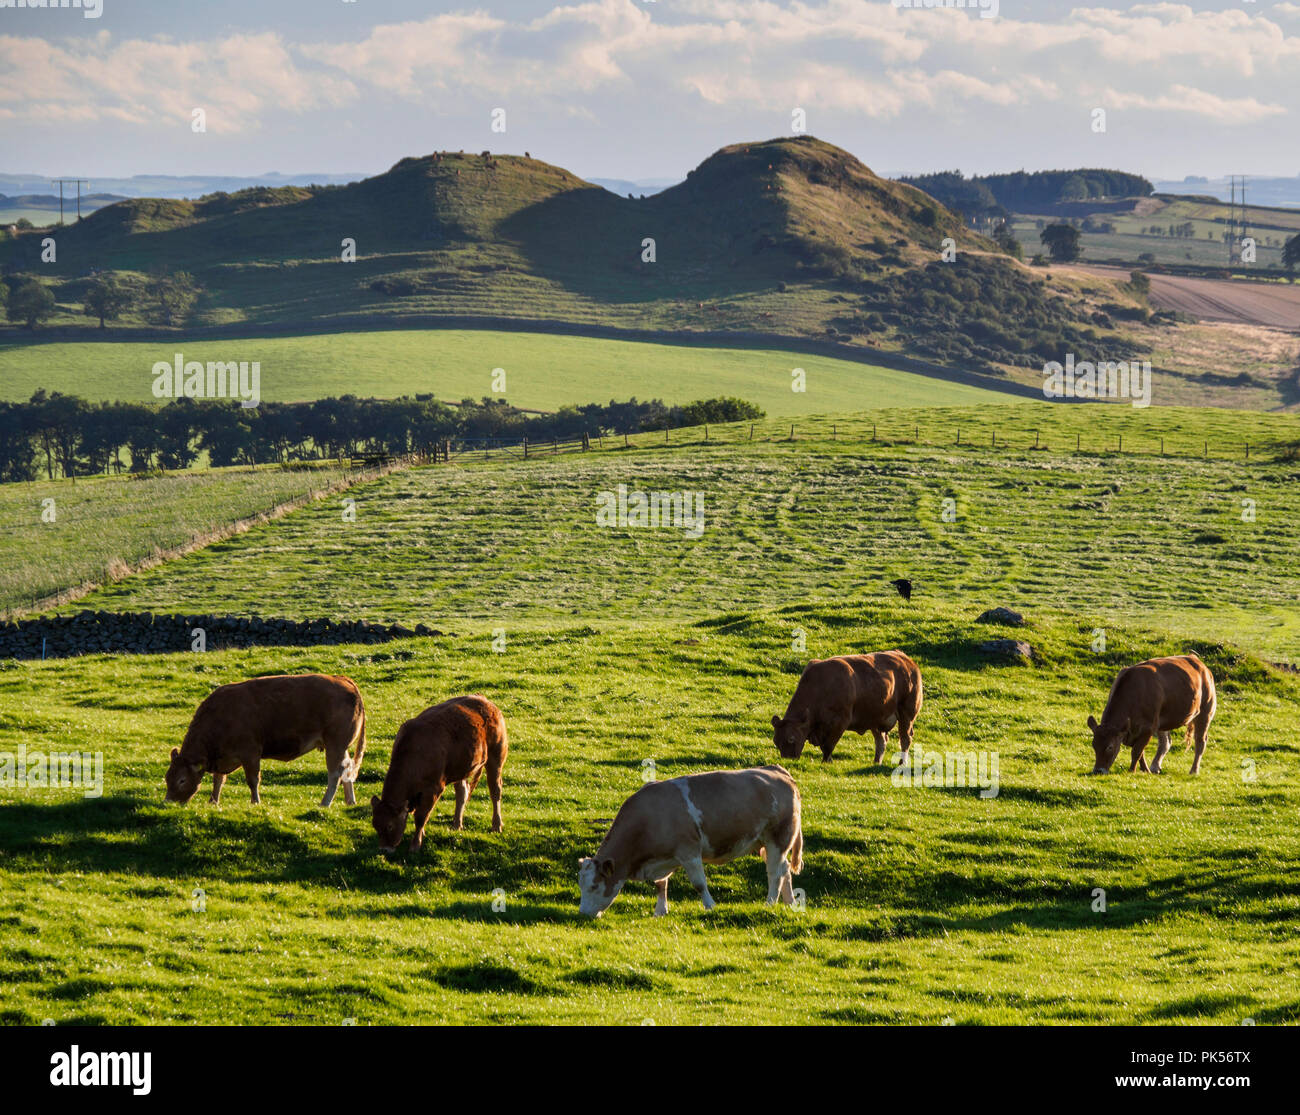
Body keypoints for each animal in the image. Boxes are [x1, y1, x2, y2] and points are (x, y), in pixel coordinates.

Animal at [164, 674, 366, 806]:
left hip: (335, 744)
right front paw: (213, 801)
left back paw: (325, 802)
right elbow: (218, 780)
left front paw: (255, 802)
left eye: (182, 780)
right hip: (340, 746)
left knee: (335, 773)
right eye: (167, 778)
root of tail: (343, 680)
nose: (168, 802)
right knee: (347, 768)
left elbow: (253, 780)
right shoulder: (222, 757)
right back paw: (350, 801)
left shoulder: (250, 752)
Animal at [371, 695, 507, 853]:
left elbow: (421, 817)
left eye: (390, 826)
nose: (383, 849)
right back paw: (456, 824)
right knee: (462, 792)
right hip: (461, 767)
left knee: (495, 791)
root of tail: (485, 701)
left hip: (496, 758)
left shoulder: (433, 788)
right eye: (374, 824)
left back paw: (496, 825)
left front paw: (415, 844)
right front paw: (421, 835)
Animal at [577, 765, 803, 918]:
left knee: (774, 873)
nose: (583, 914)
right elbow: (661, 884)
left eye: (594, 886)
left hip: (779, 838)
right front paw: (660, 911)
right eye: (581, 885)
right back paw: (790, 902)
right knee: (784, 870)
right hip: (771, 843)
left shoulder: (689, 851)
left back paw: (770, 903)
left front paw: (710, 905)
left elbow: (699, 884)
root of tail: (778, 770)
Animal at [772, 650, 923, 764]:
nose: (787, 760)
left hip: (907, 713)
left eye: (791, 738)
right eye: (776, 741)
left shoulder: (841, 721)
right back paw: (876, 762)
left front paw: (826, 762)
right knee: (881, 741)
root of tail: (905, 658)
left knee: (905, 738)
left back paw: (902, 763)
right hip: (875, 717)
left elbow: (828, 745)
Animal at [1087, 654, 1217, 775]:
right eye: (1094, 745)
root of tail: (1196, 660)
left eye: (1110, 747)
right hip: (1163, 721)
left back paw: (1194, 770)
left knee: (1200, 742)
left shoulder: (1149, 727)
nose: (1098, 771)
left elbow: (1137, 751)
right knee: (1165, 743)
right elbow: (1141, 753)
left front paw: (1132, 770)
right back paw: (1155, 766)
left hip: (1205, 712)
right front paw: (1145, 770)